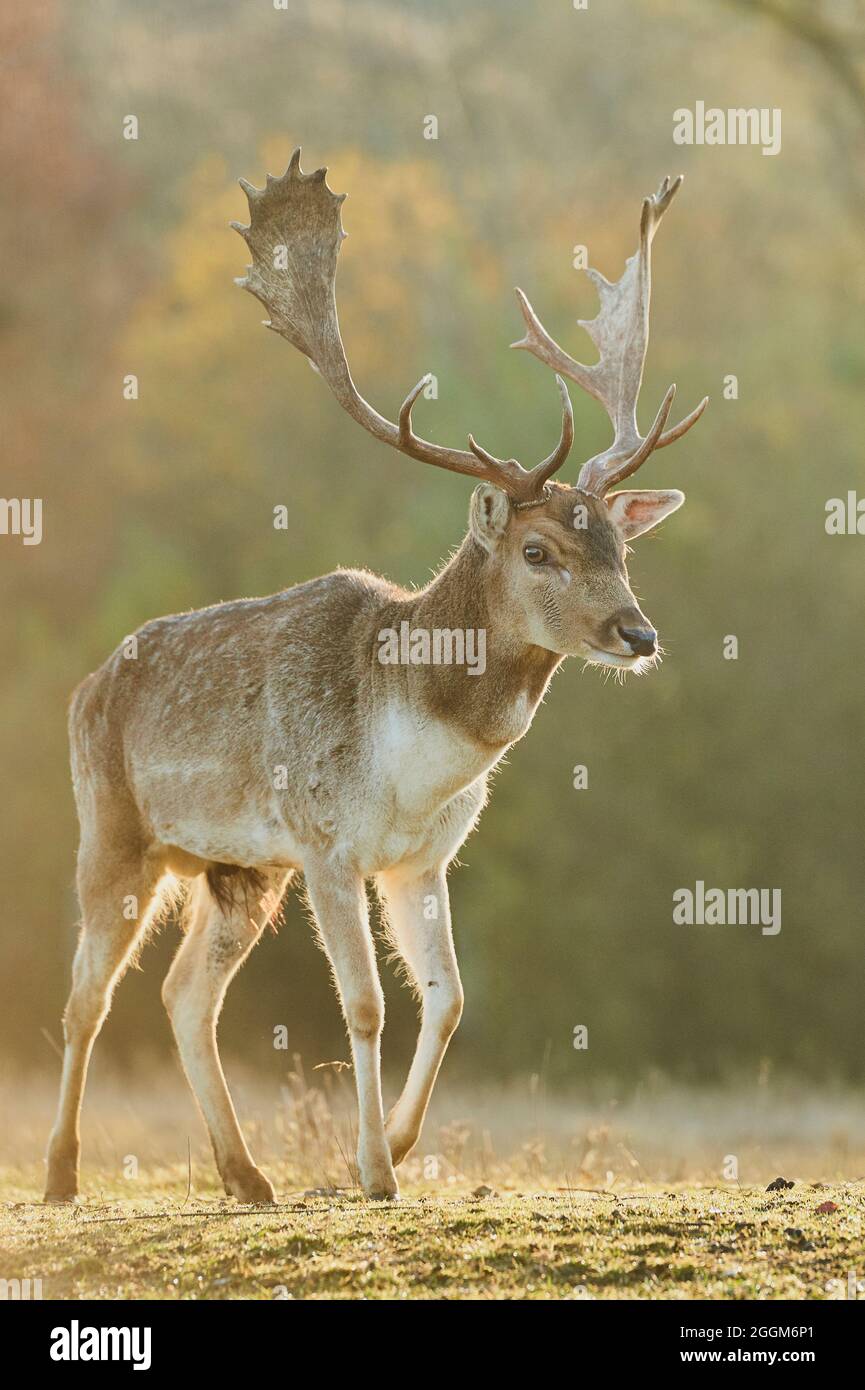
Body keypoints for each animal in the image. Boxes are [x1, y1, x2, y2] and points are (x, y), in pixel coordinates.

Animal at [45, 151, 706, 1204]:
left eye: (618, 546)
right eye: (538, 551)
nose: (636, 633)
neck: (409, 758)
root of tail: (85, 686)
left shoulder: (422, 858)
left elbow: (449, 998)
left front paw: (394, 1145)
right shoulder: (326, 845)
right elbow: (362, 1007)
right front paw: (369, 1170)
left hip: (240, 870)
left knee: (184, 994)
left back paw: (247, 1176)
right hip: (114, 826)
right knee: (87, 998)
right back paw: (63, 1173)